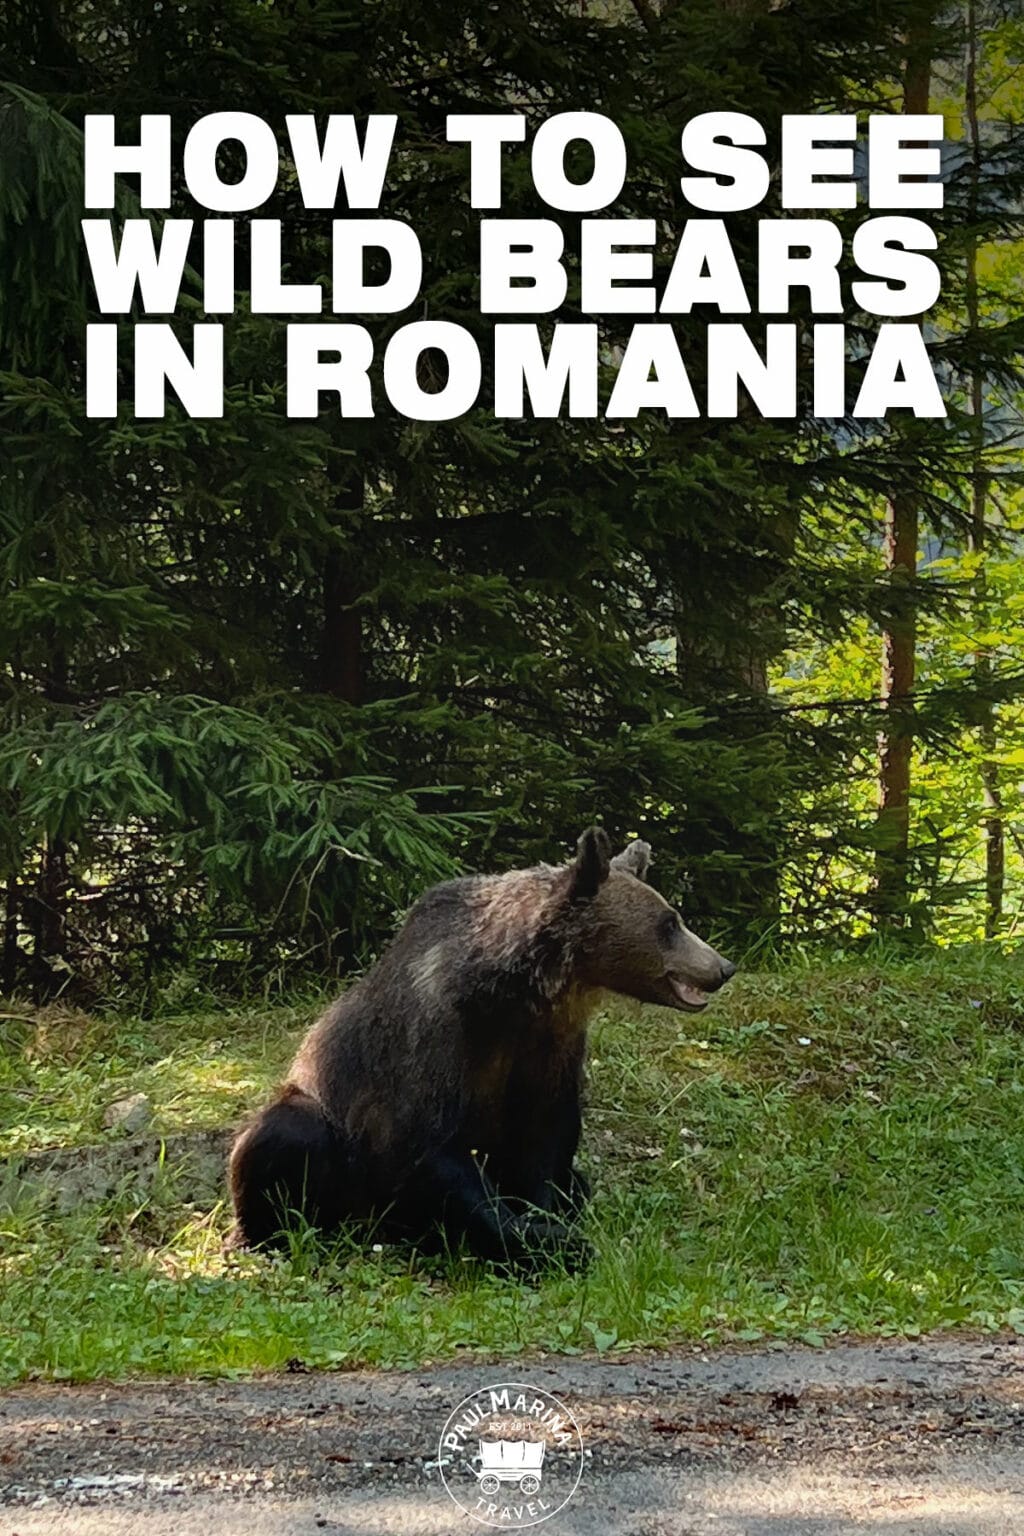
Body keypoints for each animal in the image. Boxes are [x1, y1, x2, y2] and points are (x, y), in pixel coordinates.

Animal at [228, 827, 735, 1266]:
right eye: (669, 923)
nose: (723, 966)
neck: (512, 992)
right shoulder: (434, 1038)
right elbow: (429, 1146)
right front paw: (548, 1242)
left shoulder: (551, 1044)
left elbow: (545, 1138)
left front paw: (548, 1219)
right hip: (334, 1139)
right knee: (287, 1134)